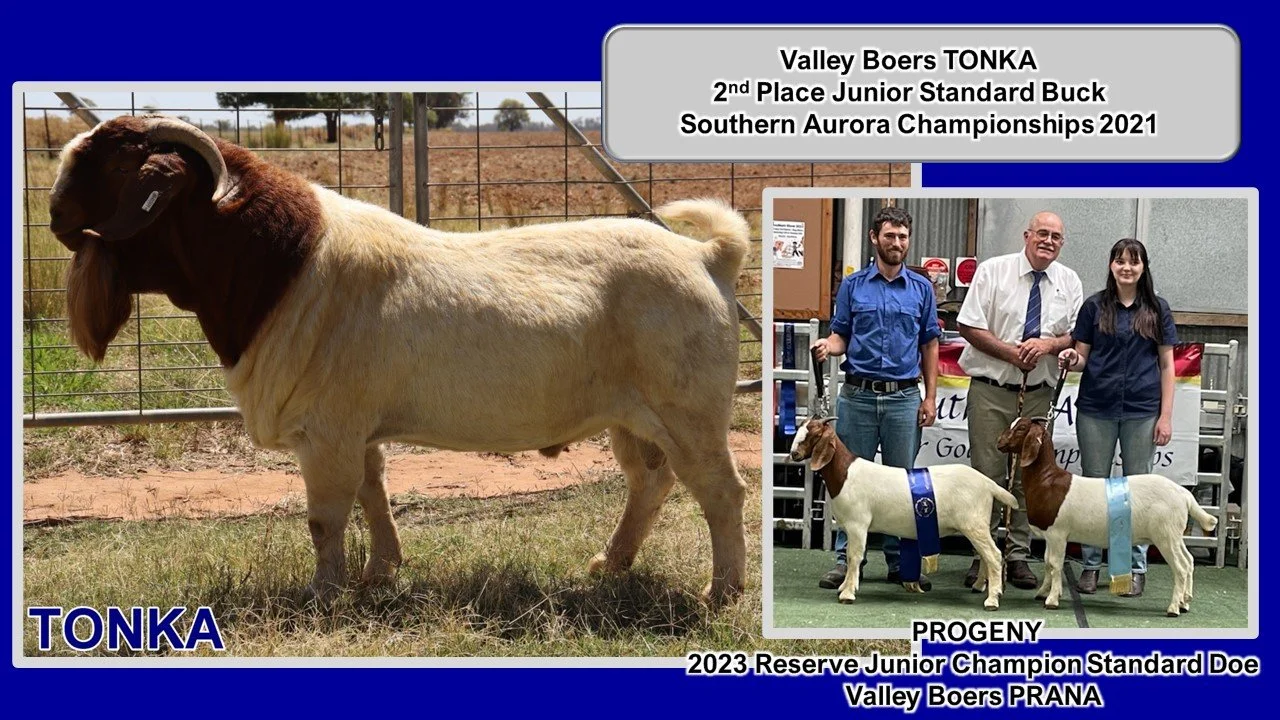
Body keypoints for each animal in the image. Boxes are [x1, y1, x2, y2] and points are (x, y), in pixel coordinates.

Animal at [47, 115, 752, 604]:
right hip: (633, 418)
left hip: (688, 410)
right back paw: (611, 565)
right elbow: (373, 492)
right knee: (650, 482)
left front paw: (324, 593)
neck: (281, 265)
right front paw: (381, 572)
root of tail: (708, 257)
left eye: (117, 165)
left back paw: (722, 592)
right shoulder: (355, 429)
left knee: (722, 490)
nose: (53, 217)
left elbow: (326, 515)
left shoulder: (326, 430)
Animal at [788, 417, 1018, 610]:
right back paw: (980, 587)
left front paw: (847, 594)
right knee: (985, 556)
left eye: (814, 434)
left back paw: (992, 599)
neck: (846, 474)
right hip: (977, 526)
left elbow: (854, 556)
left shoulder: (857, 524)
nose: (793, 455)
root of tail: (987, 483)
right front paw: (843, 586)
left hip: (974, 525)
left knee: (994, 555)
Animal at [997, 417, 1218, 616]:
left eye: (1021, 428)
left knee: (1180, 568)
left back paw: (1173, 608)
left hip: (1165, 535)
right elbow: (1047, 564)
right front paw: (1044, 592)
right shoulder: (1049, 535)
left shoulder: (1058, 533)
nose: (999, 442)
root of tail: (1184, 495)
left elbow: (1055, 564)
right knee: (1189, 562)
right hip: (1175, 535)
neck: (1047, 480)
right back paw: (1185, 602)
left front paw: (1052, 600)